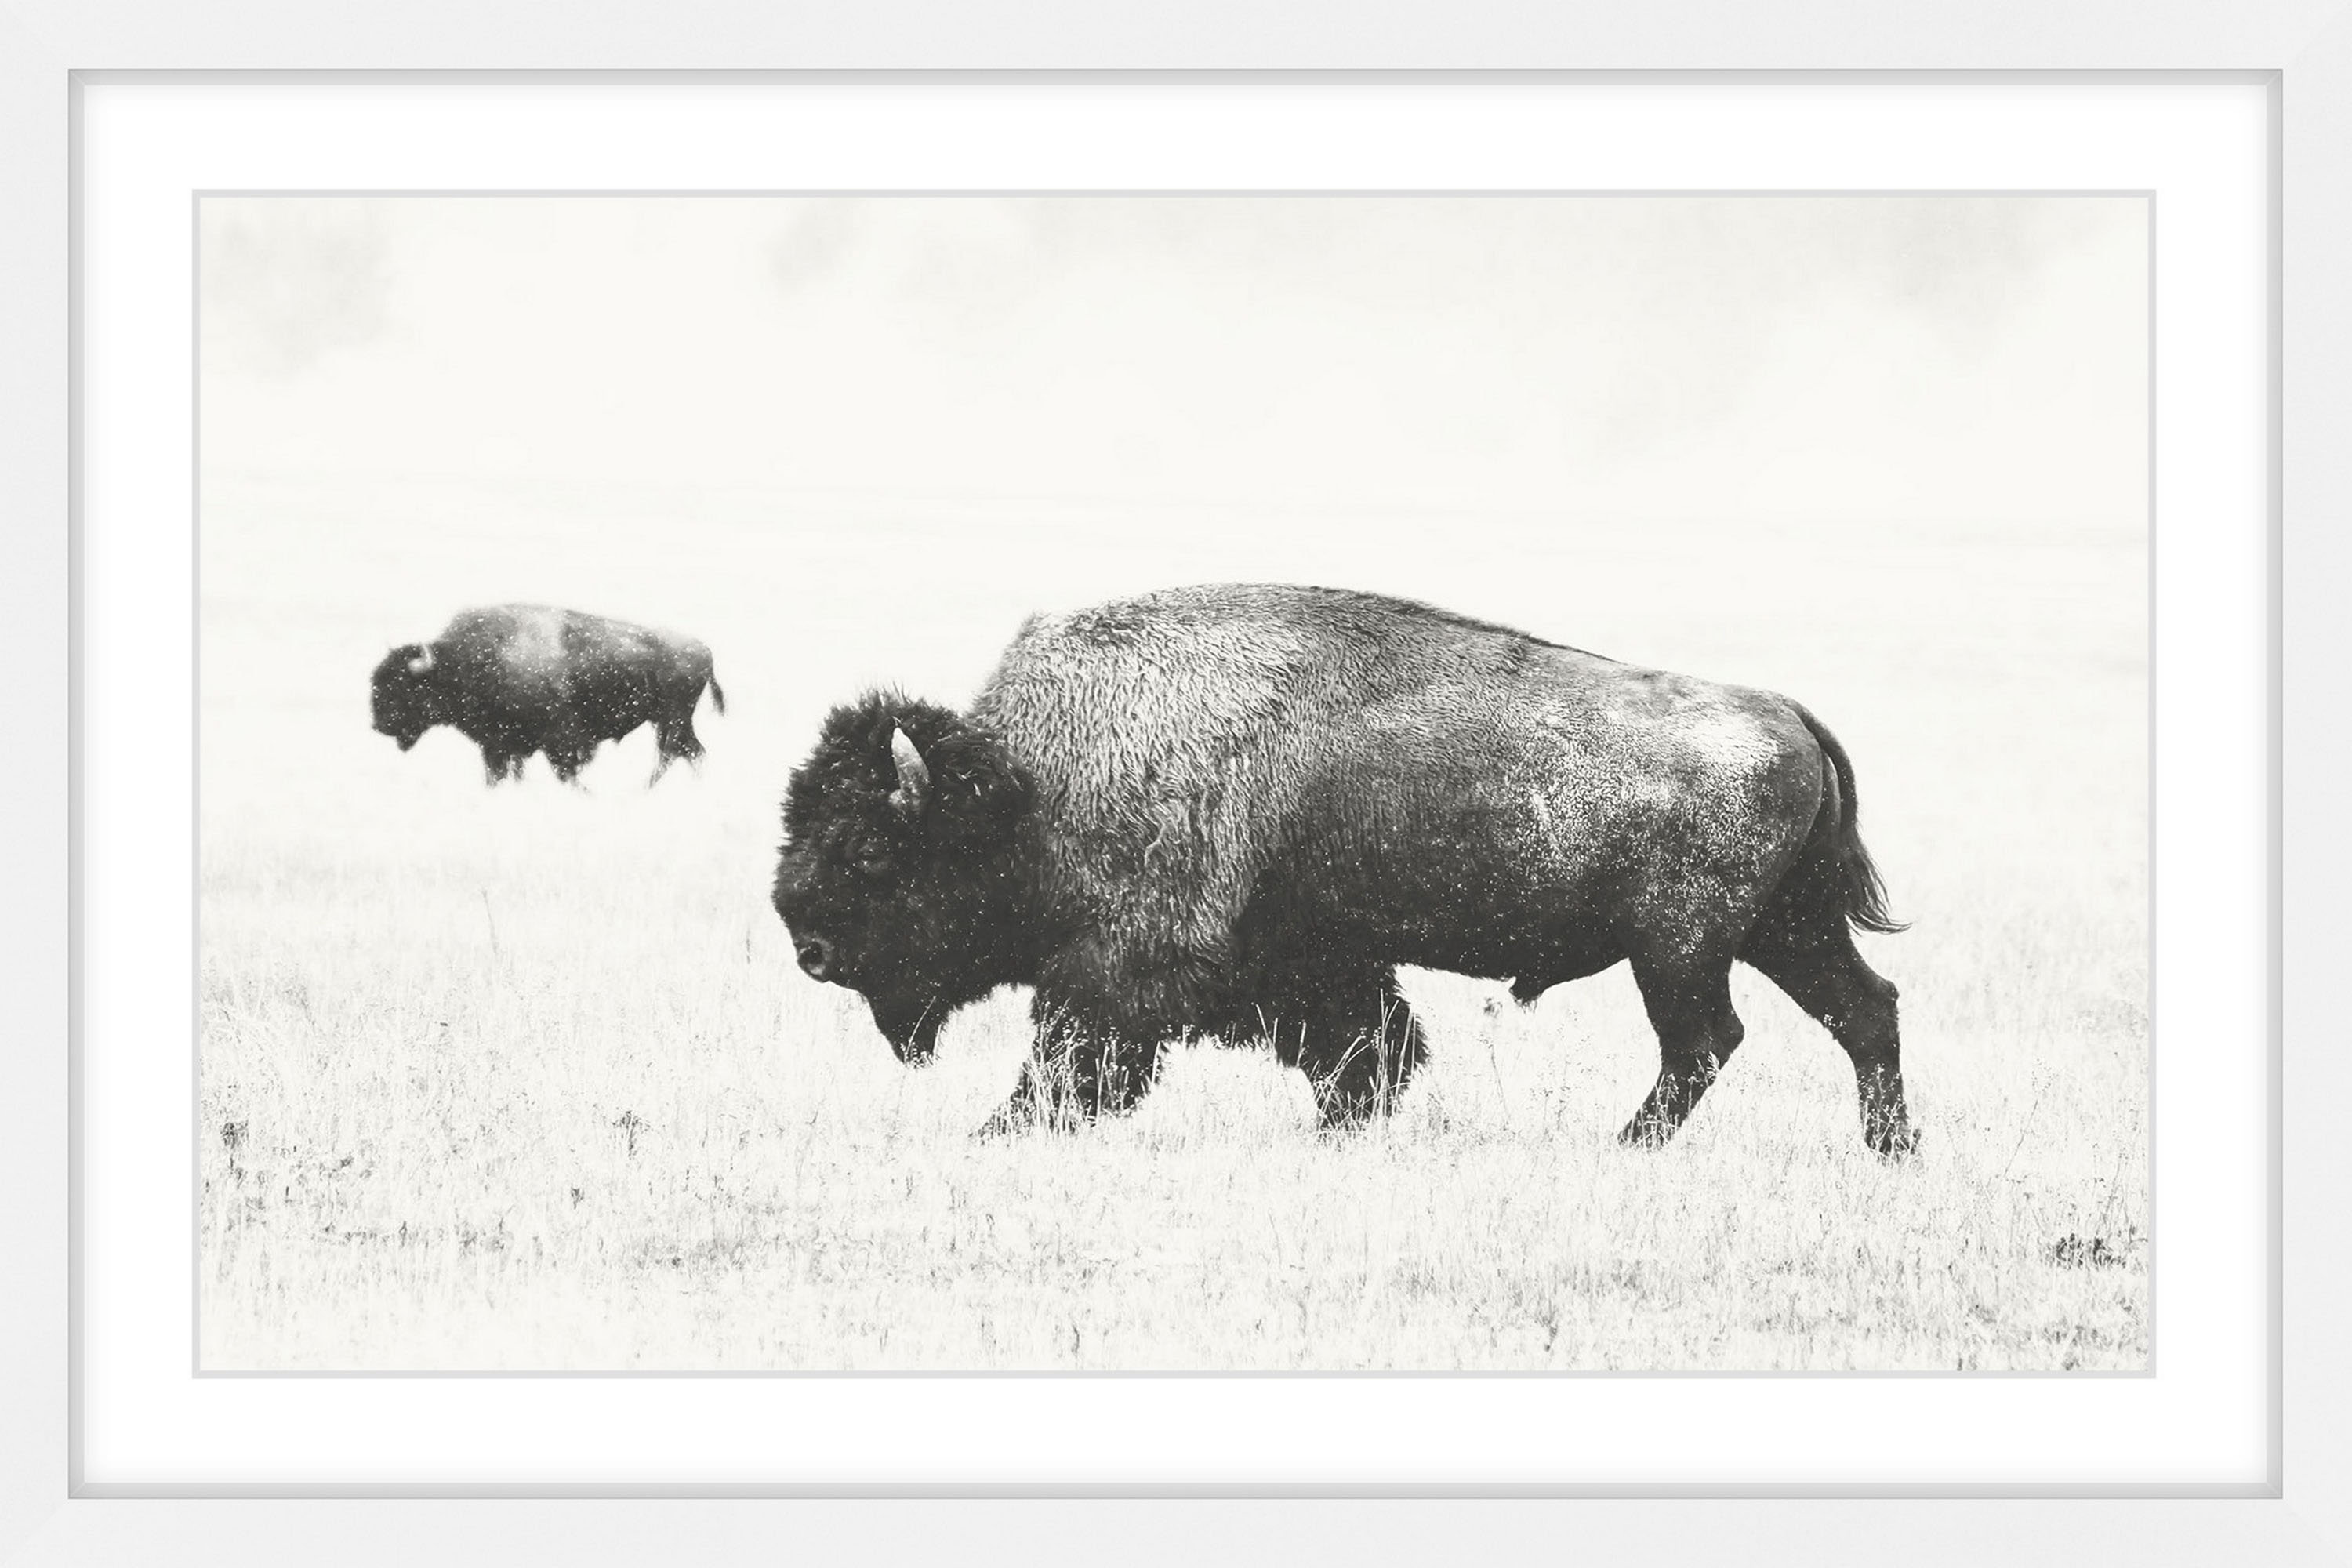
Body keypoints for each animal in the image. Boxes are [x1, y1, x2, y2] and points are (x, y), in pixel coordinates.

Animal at [371, 604, 726, 786]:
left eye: (404, 686)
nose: (379, 724)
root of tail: (704, 649)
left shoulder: (561, 742)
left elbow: (565, 772)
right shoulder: (499, 746)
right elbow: (502, 775)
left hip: (671, 721)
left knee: (676, 754)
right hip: (669, 722)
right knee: (688, 752)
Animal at [772, 584, 1913, 1154]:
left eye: (871, 850)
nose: (810, 946)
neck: (1031, 783)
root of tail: (1784, 711)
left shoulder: (1126, 966)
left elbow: (1073, 1058)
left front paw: (998, 1131)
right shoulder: (1312, 958)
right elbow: (1367, 1045)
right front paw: (1343, 1127)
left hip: (1680, 949)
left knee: (1707, 1040)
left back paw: (1625, 1146)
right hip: (1781, 929)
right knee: (1865, 1008)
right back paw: (1889, 1149)